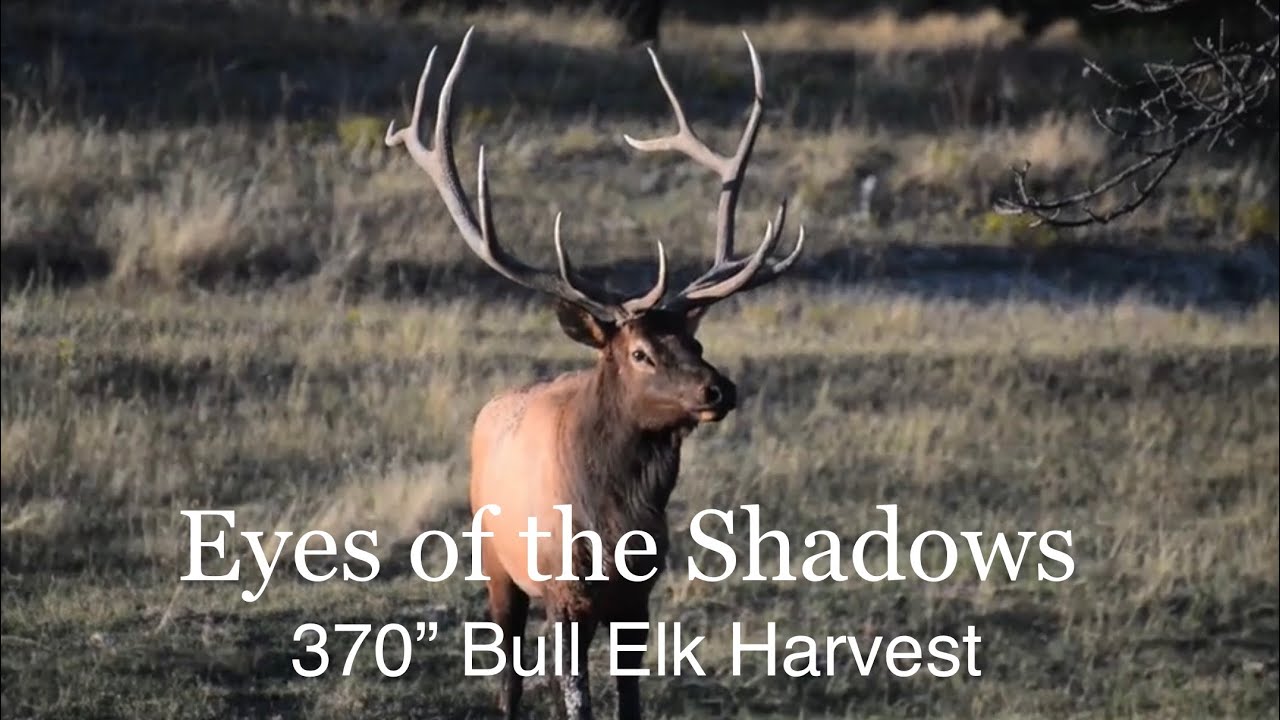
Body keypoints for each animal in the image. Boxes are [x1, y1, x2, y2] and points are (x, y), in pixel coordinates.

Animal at [385, 26, 804, 720]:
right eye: (640, 353)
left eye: (695, 337)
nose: (719, 389)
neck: (613, 530)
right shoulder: (566, 592)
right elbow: (575, 697)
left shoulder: (639, 596)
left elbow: (629, 699)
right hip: (496, 561)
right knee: (509, 672)